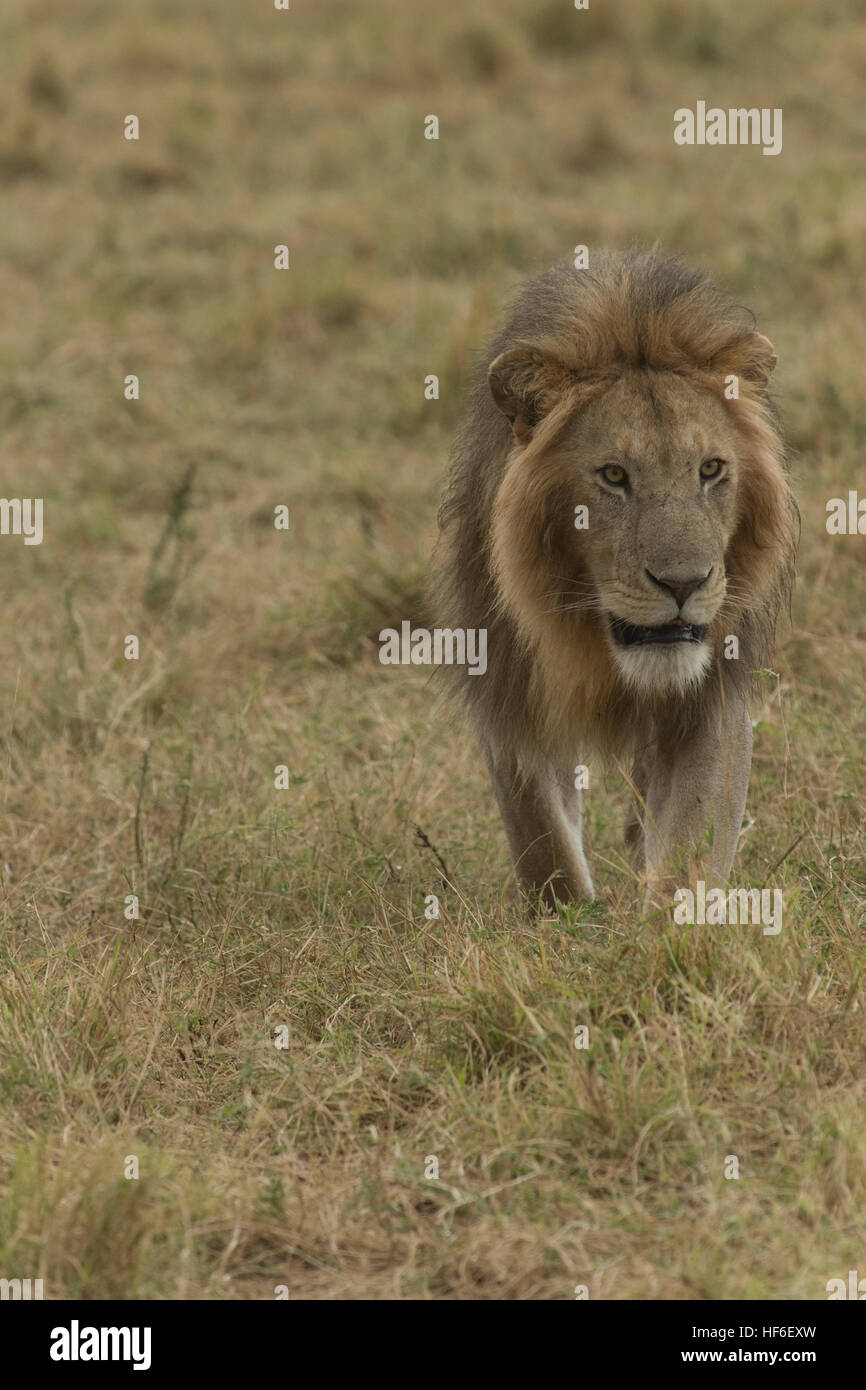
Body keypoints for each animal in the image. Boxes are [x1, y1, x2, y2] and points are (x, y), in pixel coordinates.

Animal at [431, 250, 798, 912]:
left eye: (711, 469)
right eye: (613, 475)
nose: (684, 583)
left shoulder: (712, 694)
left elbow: (688, 847)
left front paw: (670, 925)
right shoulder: (507, 689)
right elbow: (542, 835)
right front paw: (565, 920)